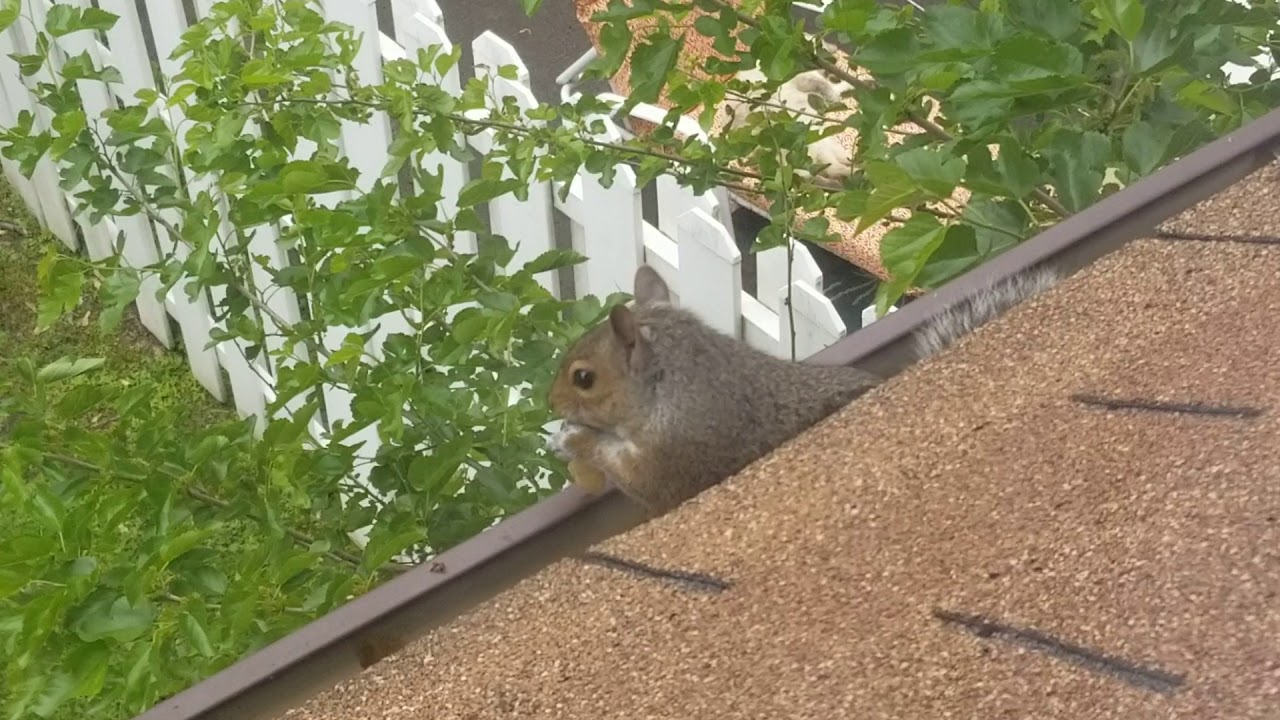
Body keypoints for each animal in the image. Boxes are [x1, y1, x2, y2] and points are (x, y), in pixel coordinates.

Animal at [546, 264, 1059, 515]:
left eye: (584, 379)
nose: (551, 402)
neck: (678, 381)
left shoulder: (679, 450)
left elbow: (641, 481)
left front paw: (575, 440)